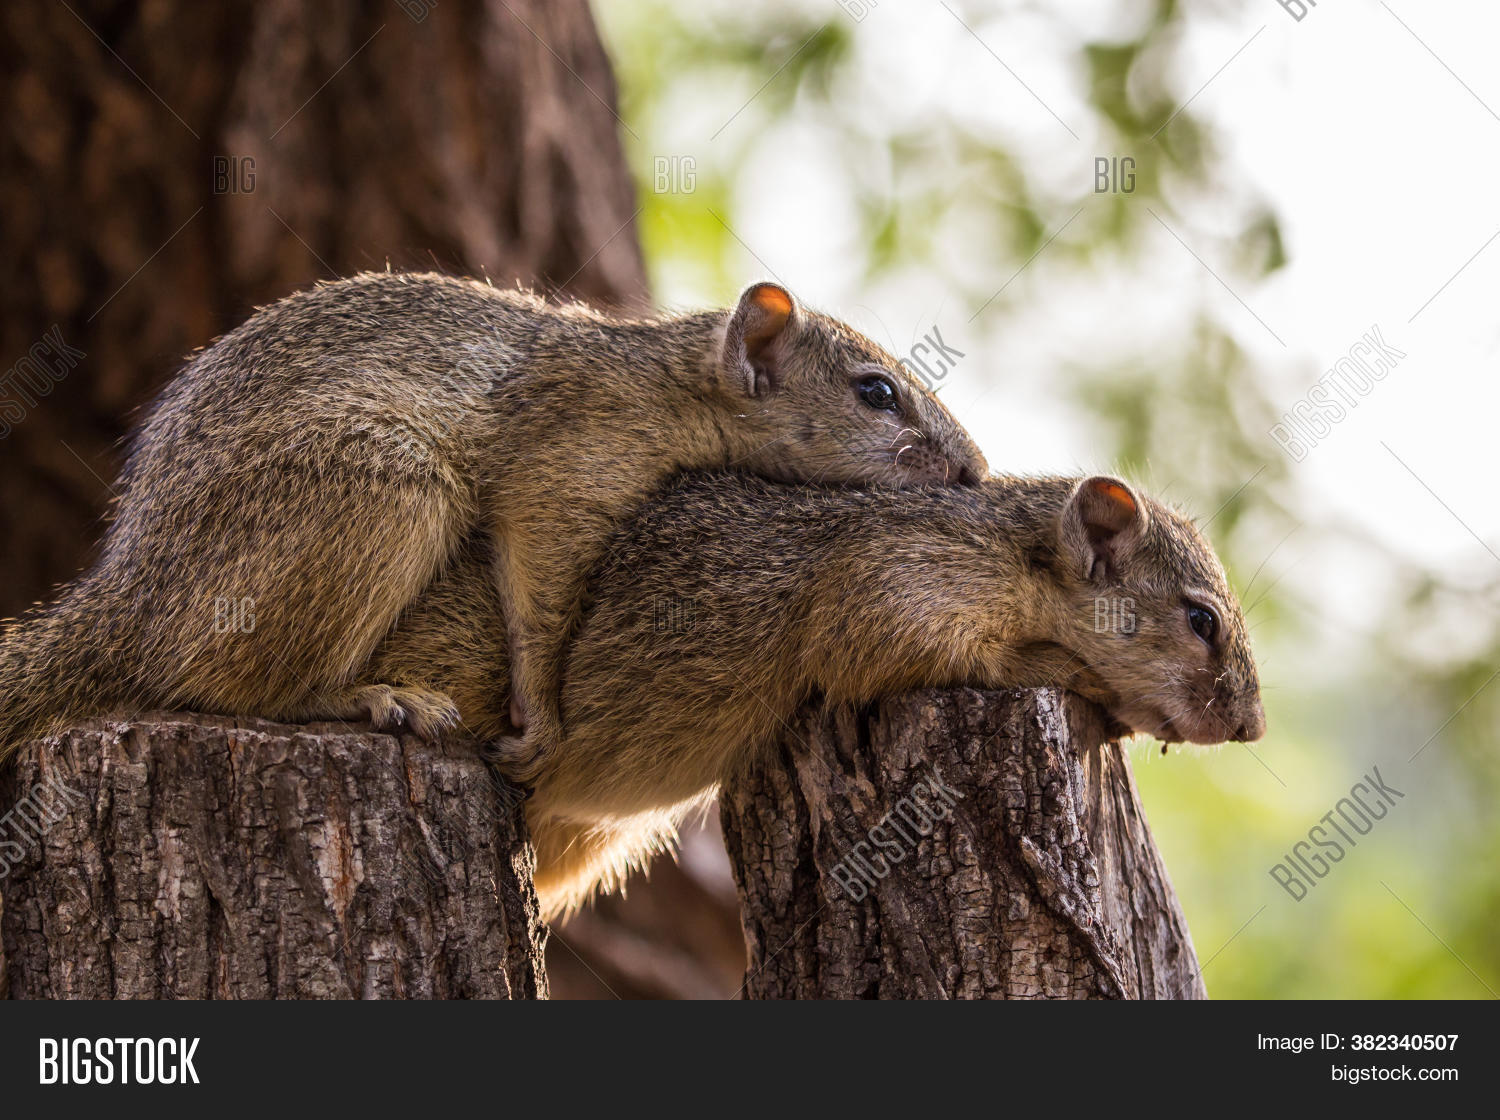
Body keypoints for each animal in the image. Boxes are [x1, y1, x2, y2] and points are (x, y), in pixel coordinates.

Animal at [0, 271, 985, 765]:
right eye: (876, 393)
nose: (975, 473)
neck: (665, 383)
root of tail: (127, 602)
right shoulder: (564, 470)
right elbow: (541, 606)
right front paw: (541, 718)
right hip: (382, 488)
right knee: (219, 680)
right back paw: (370, 696)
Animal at [366, 470, 1266, 917]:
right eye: (1200, 620)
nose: (1253, 727)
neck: (1012, 552)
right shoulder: (891, 581)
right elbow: (904, 650)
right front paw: (1074, 676)